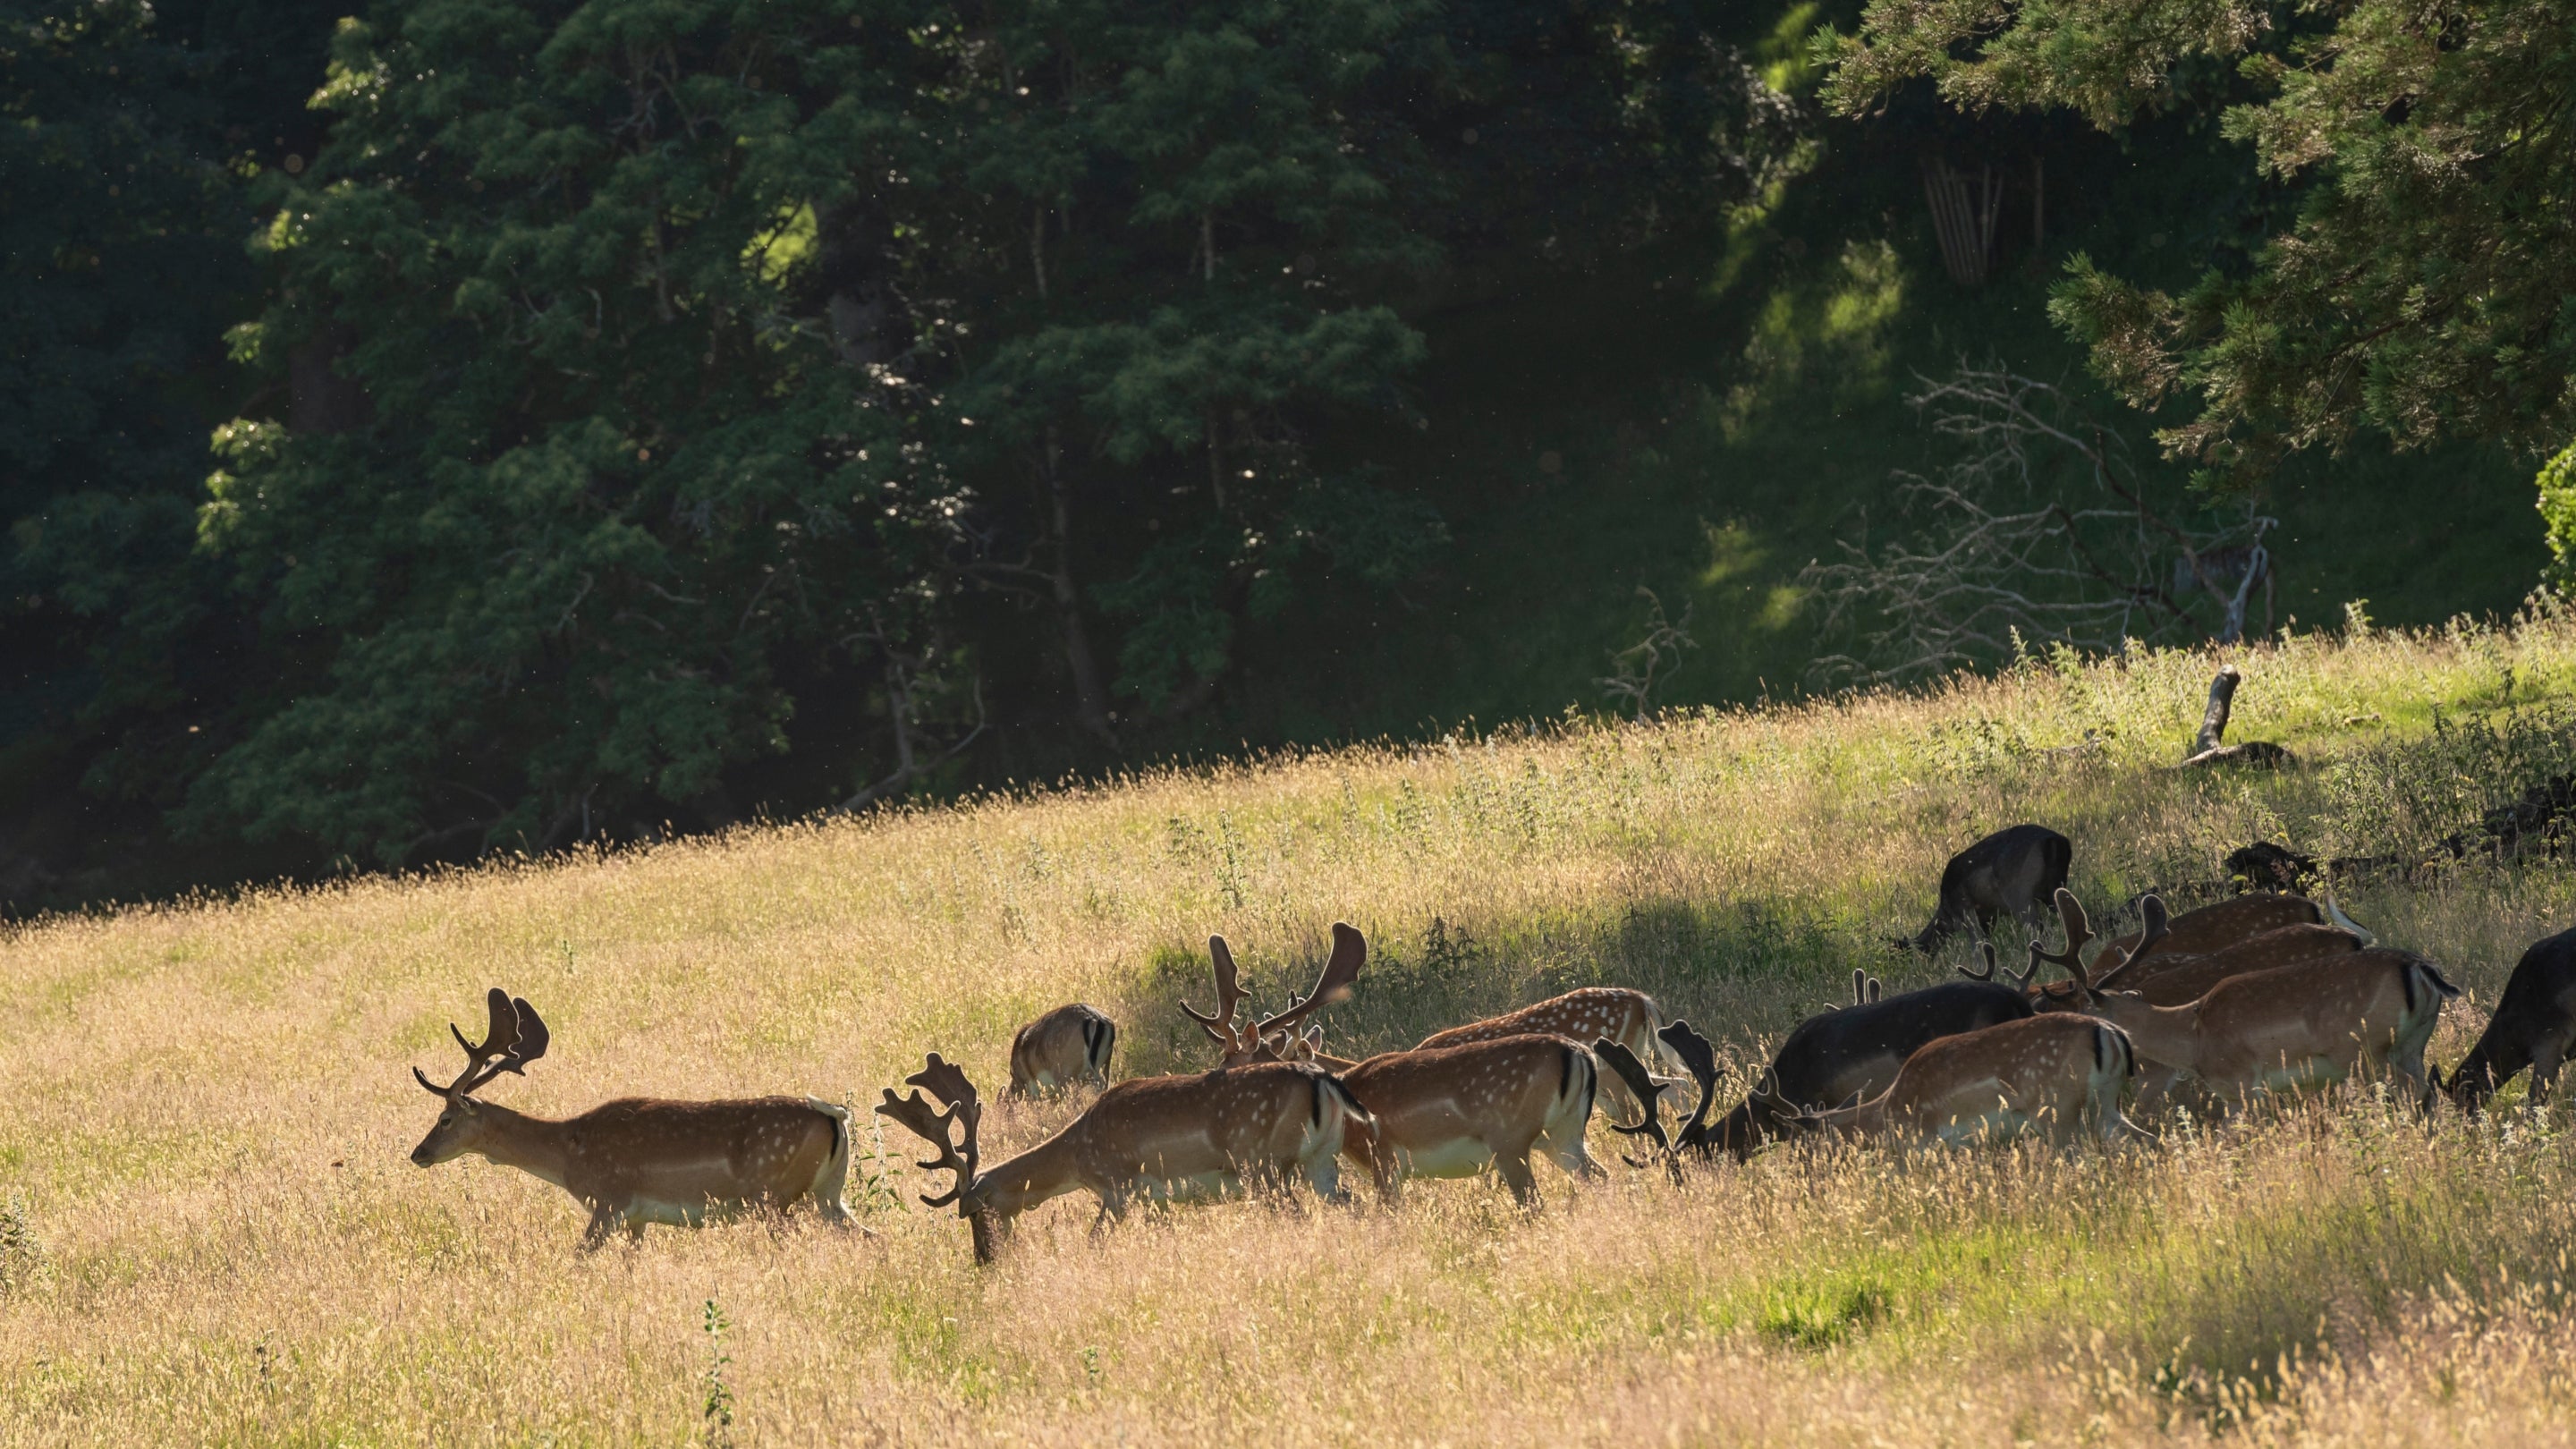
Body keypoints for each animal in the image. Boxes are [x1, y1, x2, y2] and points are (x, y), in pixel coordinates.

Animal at [408, 988, 856, 1248]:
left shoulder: (610, 1204)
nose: (418, 1153)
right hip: (827, 1195)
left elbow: (580, 1258)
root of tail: (834, 1115)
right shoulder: (637, 1220)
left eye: (445, 1118)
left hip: (775, 1196)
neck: (568, 1155)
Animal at [876, 1044, 1371, 1264]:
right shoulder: (1158, 1200)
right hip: (1320, 1163)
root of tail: (1323, 1080)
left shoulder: (1118, 1188)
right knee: (1356, 1204)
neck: (1079, 1156)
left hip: (1264, 1166)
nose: (984, 1260)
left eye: (973, 1212)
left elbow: (1094, 1239)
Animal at [1187, 924, 1602, 1205]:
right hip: (1564, 1135)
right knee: (1599, 1177)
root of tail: (1580, 1055)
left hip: (1510, 1139)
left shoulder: (1383, 1158)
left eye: (1229, 1061)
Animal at [1895, 824, 2072, 955]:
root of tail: (2056, 841)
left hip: (2021, 897)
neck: (1947, 912)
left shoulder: (1966, 911)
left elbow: (1977, 948)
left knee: (2040, 932)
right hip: (2054, 887)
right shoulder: (1988, 916)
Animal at [2027, 889, 2460, 1113]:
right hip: (2412, 1044)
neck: (2191, 1035)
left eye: (2085, 1012)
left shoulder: (2242, 1087)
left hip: (2363, 1051)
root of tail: (2421, 967)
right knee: (2429, 1087)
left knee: (2415, 1090)